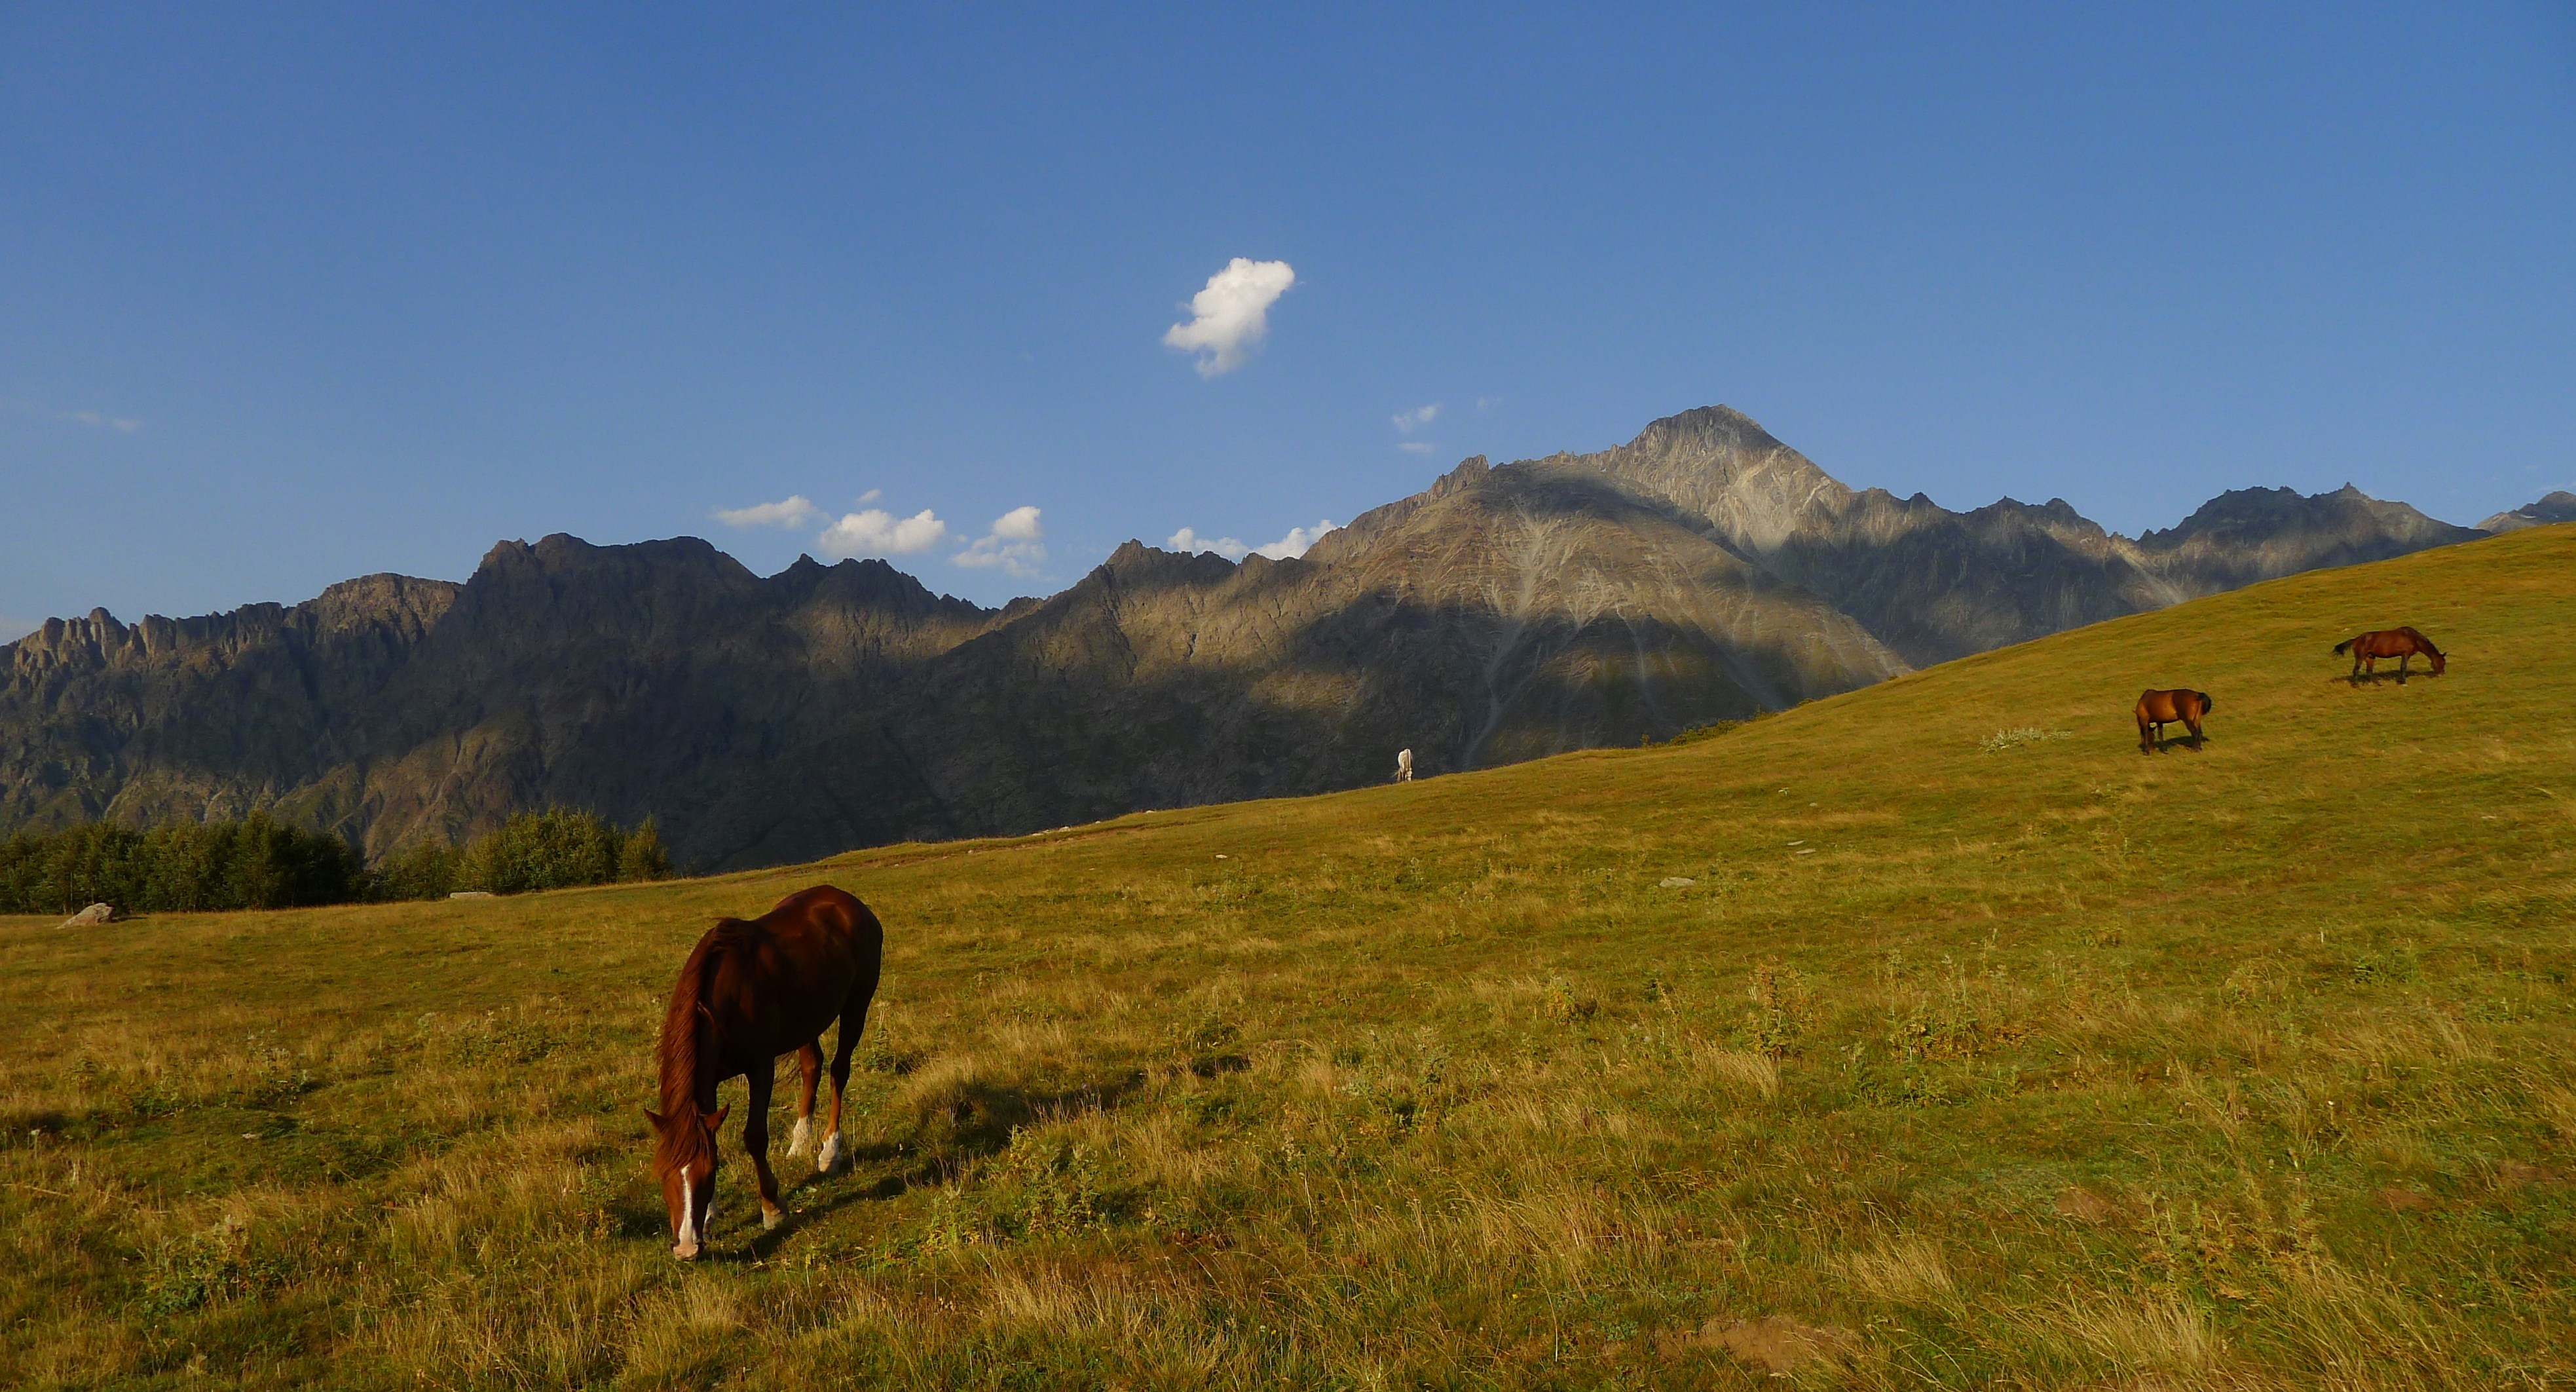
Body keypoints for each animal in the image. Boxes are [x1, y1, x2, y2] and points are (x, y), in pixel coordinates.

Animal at [645, 884, 883, 1260]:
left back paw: (830, 1151)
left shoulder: (760, 1067)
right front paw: (709, 1217)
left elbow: (755, 1137)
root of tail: (851, 903)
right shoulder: (708, 1079)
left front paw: (772, 1208)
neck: (723, 997)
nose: (686, 1248)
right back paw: (800, 1142)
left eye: (708, 1172)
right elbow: (709, 1135)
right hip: (806, 1020)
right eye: (663, 1173)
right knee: (812, 1067)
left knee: (838, 1071)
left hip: (856, 1005)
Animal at [2334, 627, 2446, 683]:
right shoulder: (2405, 654)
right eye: (2442, 663)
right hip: (2360, 657)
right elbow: (2403, 667)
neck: (2412, 637)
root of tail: (2356, 639)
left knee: (2369, 671)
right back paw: (2356, 685)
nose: (2442, 675)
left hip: (2370, 657)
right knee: (2356, 670)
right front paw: (2403, 682)